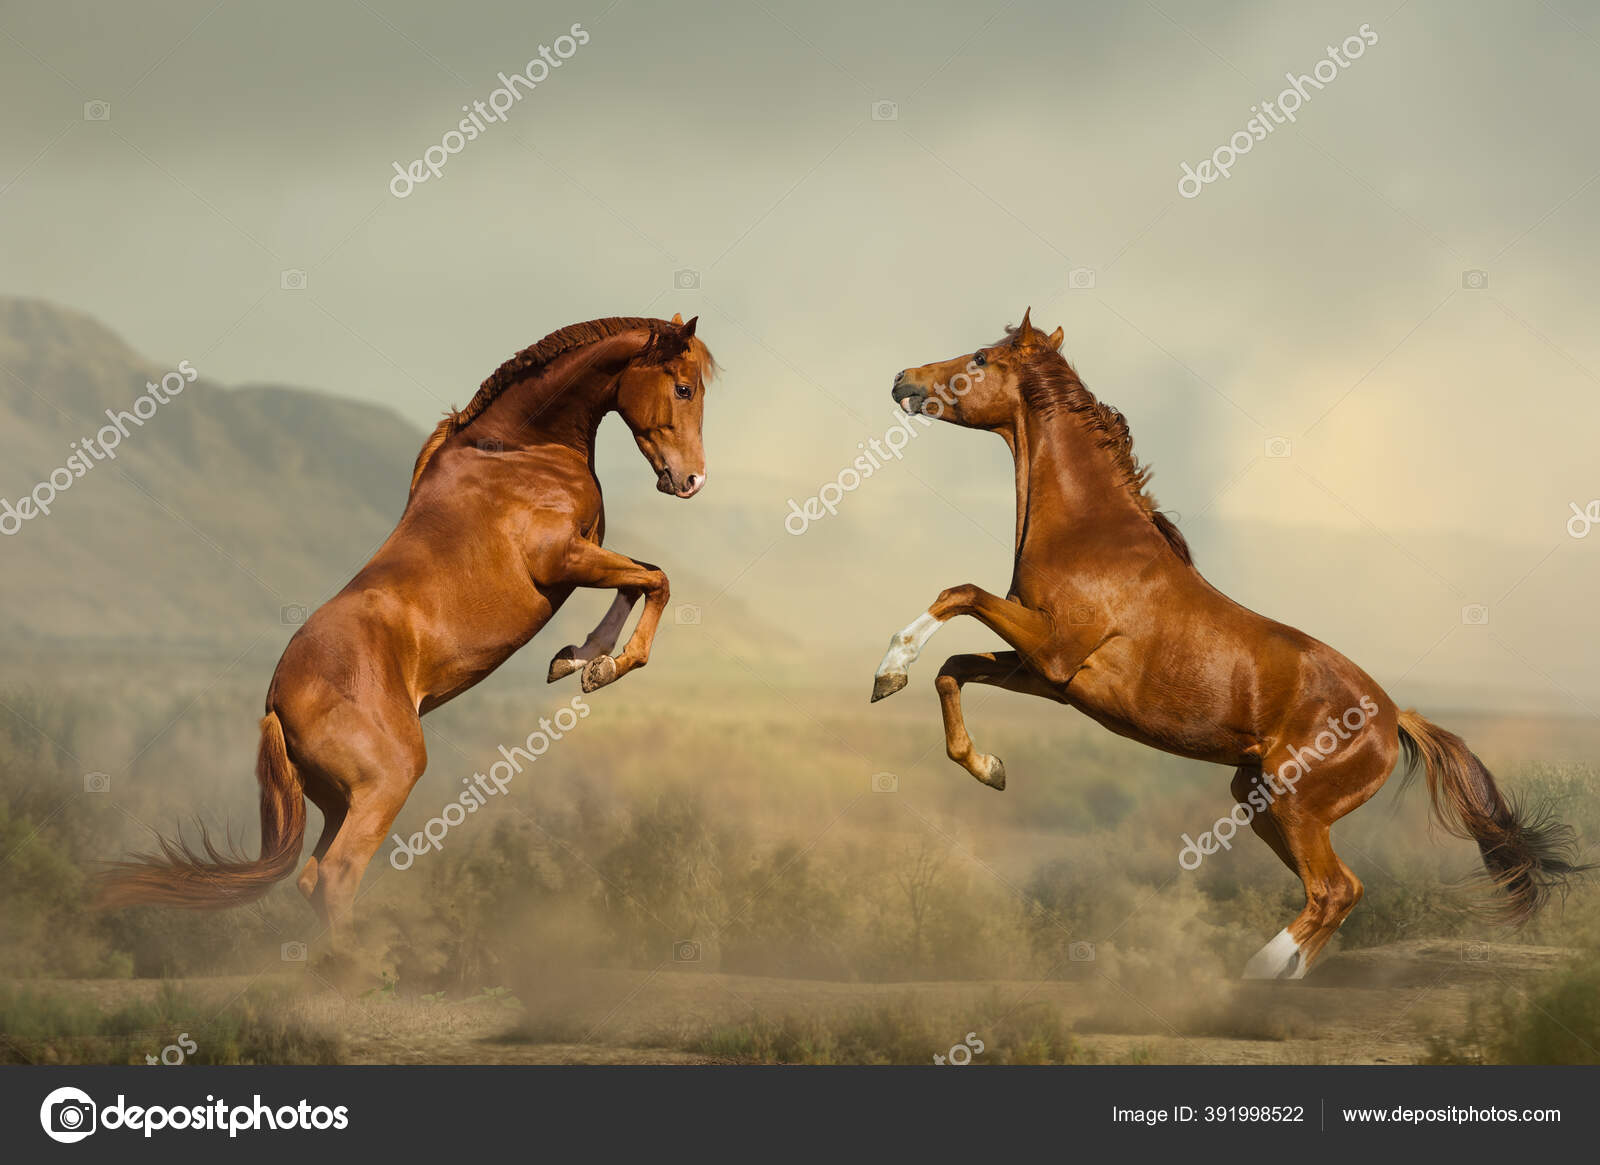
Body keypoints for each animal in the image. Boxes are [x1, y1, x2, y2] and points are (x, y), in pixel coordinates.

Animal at [97, 313, 716, 946]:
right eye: (684, 388)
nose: (691, 479)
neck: (522, 451)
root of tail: (276, 704)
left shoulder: (587, 555)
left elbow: (639, 579)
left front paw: (578, 658)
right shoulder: (564, 559)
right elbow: (657, 580)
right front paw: (603, 666)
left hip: (339, 803)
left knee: (312, 878)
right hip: (386, 785)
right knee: (337, 875)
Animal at [871, 309, 1586, 979]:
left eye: (979, 357)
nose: (902, 378)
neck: (1091, 532)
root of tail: (1394, 718)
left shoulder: (1053, 650)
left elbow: (958, 594)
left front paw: (888, 667)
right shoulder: (1044, 675)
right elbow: (952, 668)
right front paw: (985, 765)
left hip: (1296, 805)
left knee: (1335, 890)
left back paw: (1255, 975)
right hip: (1257, 796)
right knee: (1337, 892)